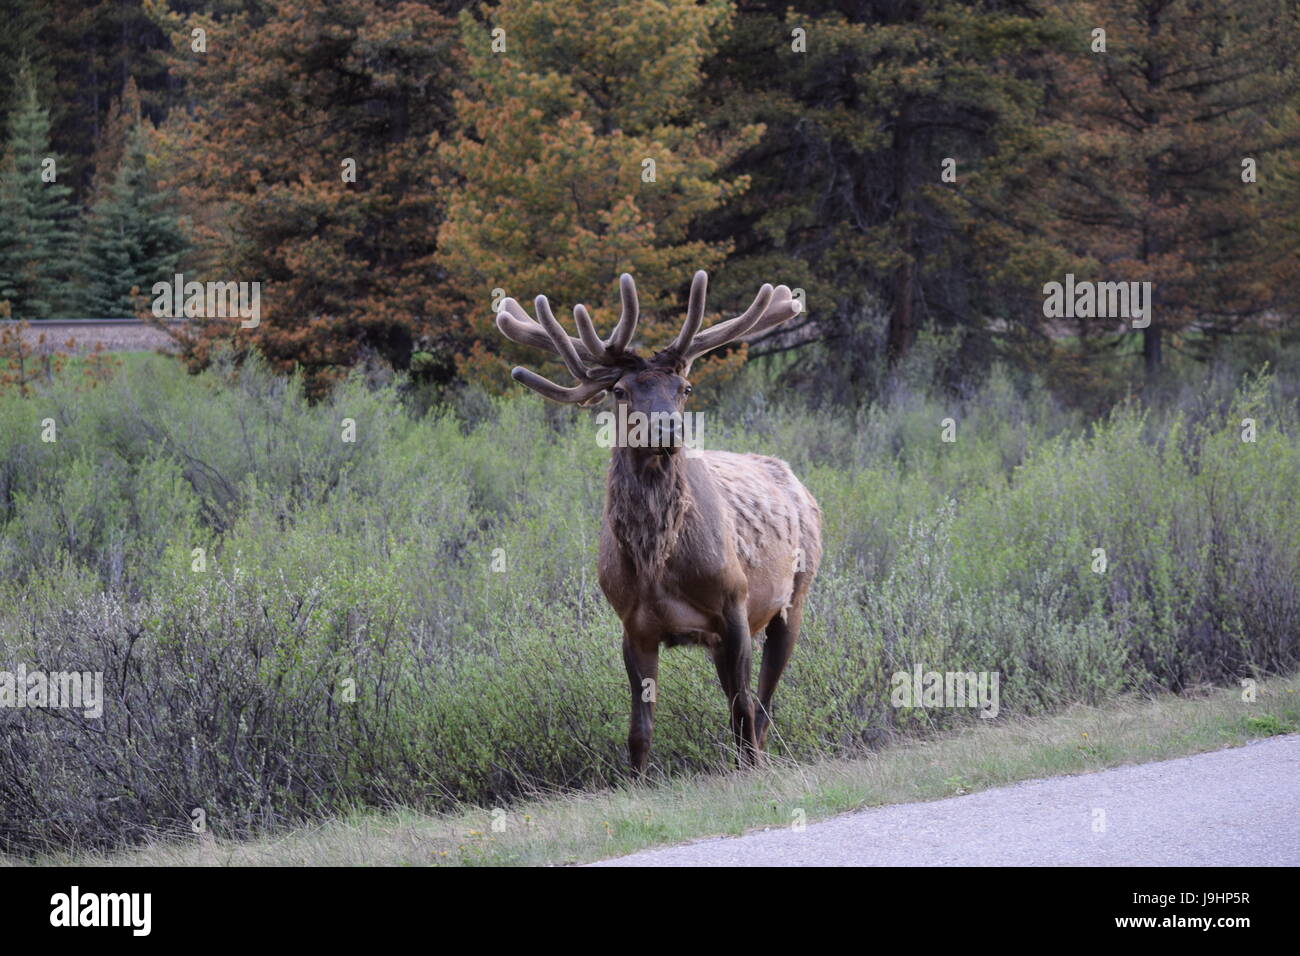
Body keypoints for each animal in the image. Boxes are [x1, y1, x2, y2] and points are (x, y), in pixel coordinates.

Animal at [496, 270, 822, 774]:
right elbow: (640, 730)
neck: (656, 564)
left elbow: (743, 710)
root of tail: (798, 482)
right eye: (620, 390)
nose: (668, 428)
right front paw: (636, 780)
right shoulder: (634, 626)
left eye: (684, 388)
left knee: (763, 704)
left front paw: (747, 771)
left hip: (795, 597)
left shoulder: (735, 605)